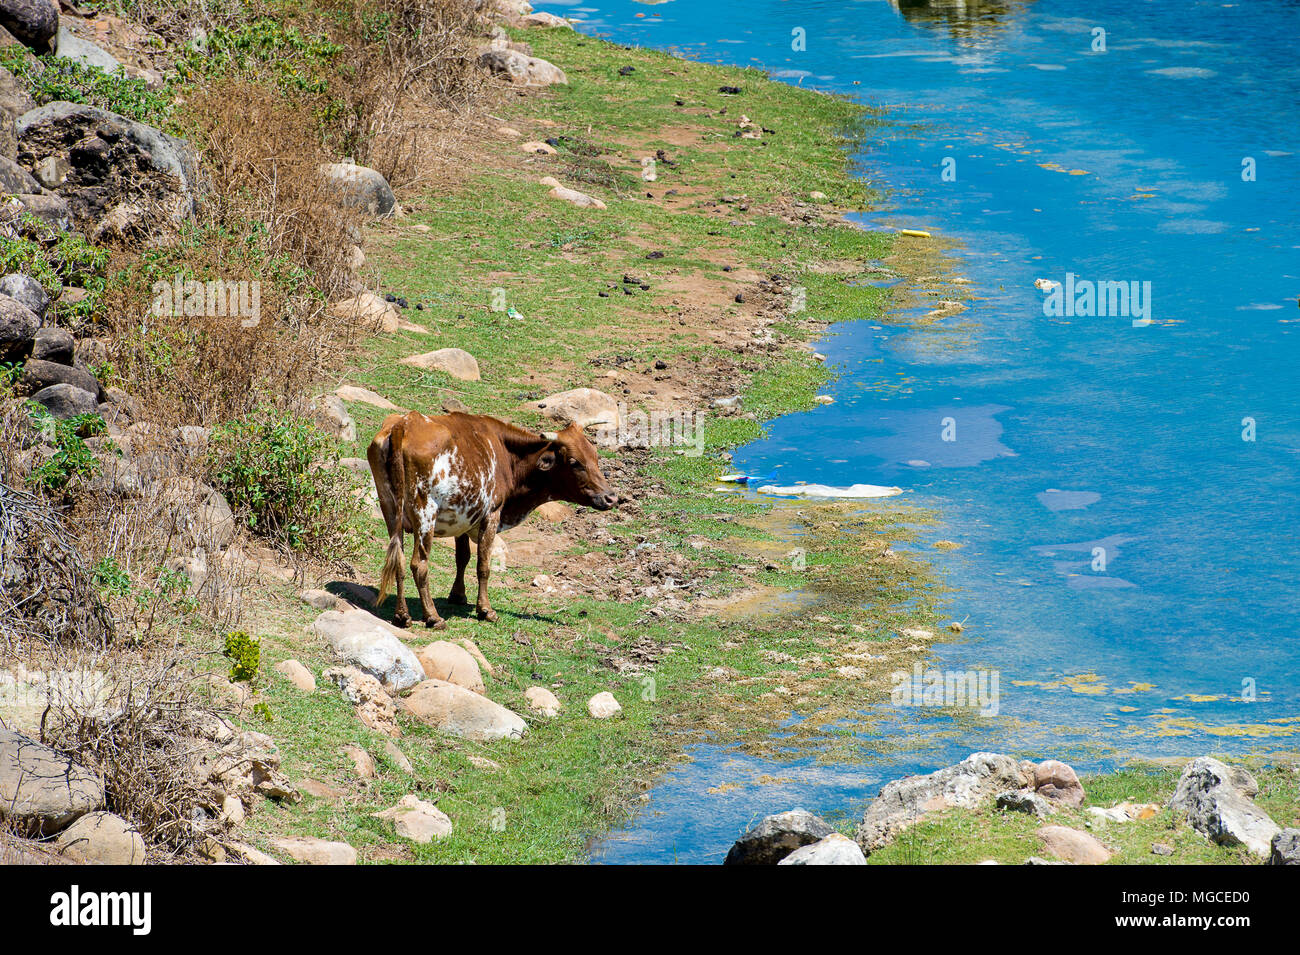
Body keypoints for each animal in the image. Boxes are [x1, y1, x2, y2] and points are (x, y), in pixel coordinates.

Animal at [367, 411, 619, 629]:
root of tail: (404, 424)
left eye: (595, 456)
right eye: (575, 462)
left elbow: (462, 558)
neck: (506, 455)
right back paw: (433, 617)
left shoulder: (463, 517)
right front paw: (485, 610)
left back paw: (402, 615)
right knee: (418, 564)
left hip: (390, 509)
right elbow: (483, 565)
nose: (611, 497)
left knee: (398, 560)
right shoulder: (491, 514)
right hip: (425, 512)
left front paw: (458, 595)